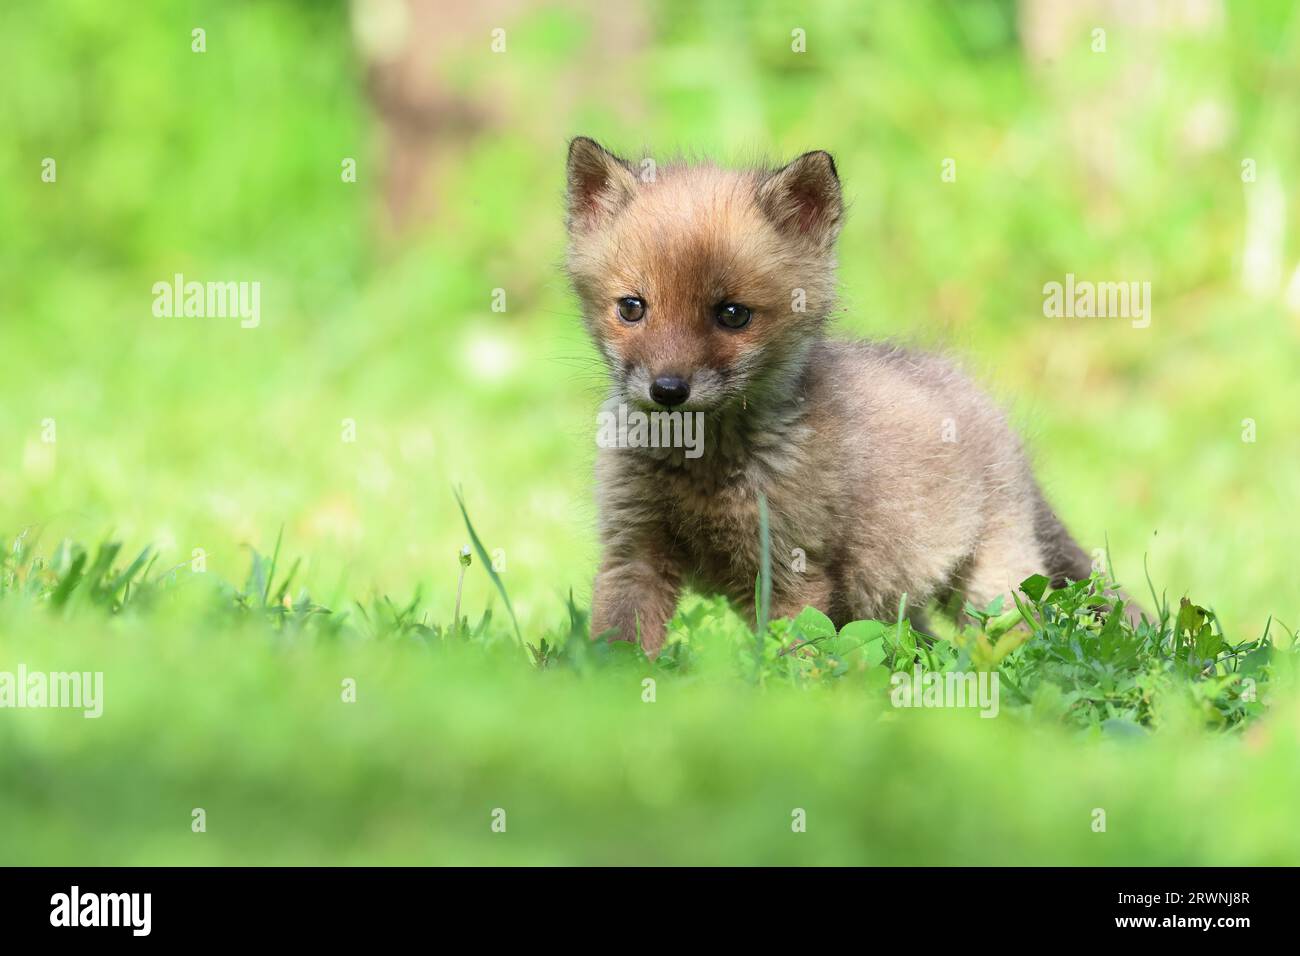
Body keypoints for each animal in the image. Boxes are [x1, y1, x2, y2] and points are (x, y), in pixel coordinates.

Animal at [565, 136, 1136, 656]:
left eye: (732, 314)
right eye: (632, 308)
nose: (667, 391)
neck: (702, 469)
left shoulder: (792, 569)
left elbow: (795, 663)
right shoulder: (632, 551)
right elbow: (619, 644)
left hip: (990, 586)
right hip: (886, 605)